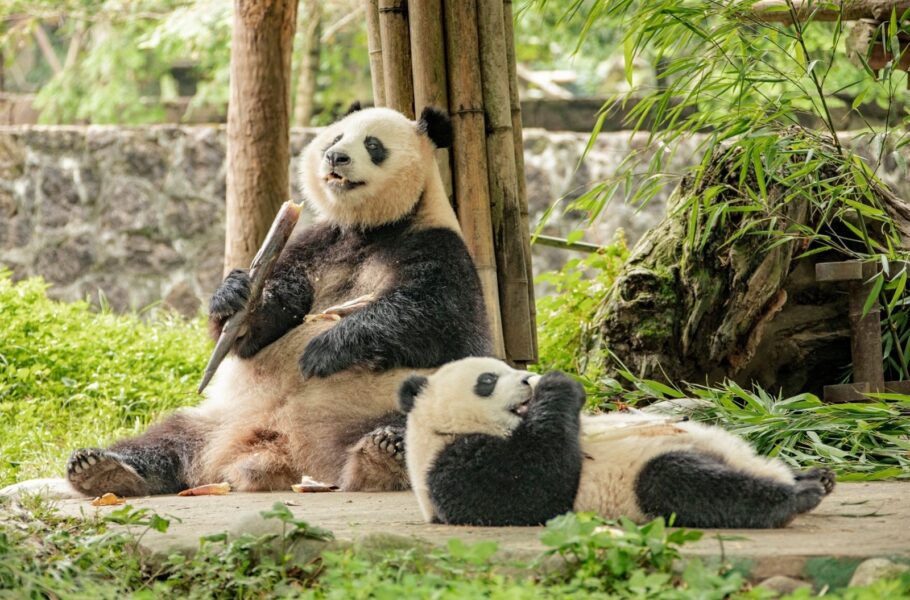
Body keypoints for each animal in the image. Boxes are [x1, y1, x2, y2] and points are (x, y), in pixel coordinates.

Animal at [60, 105, 491, 498]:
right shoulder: (314, 245)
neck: (370, 230)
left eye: (373, 145)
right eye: (336, 137)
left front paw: (323, 349)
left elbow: (435, 319)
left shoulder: (437, 247)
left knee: (427, 425)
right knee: (166, 438)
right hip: (217, 419)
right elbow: (264, 324)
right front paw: (236, 296)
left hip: (397, 402)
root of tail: (287, 455)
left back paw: (383, 453)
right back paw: (103, 469)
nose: (336, 157)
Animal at [400, 358, 836, 528]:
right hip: (645, 483)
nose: (527, 379)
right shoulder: (450, 463)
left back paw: (813, 475)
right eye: (487, 380)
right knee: (684, 483)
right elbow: (529, 490)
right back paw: (796, 497)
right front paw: (559, 387)